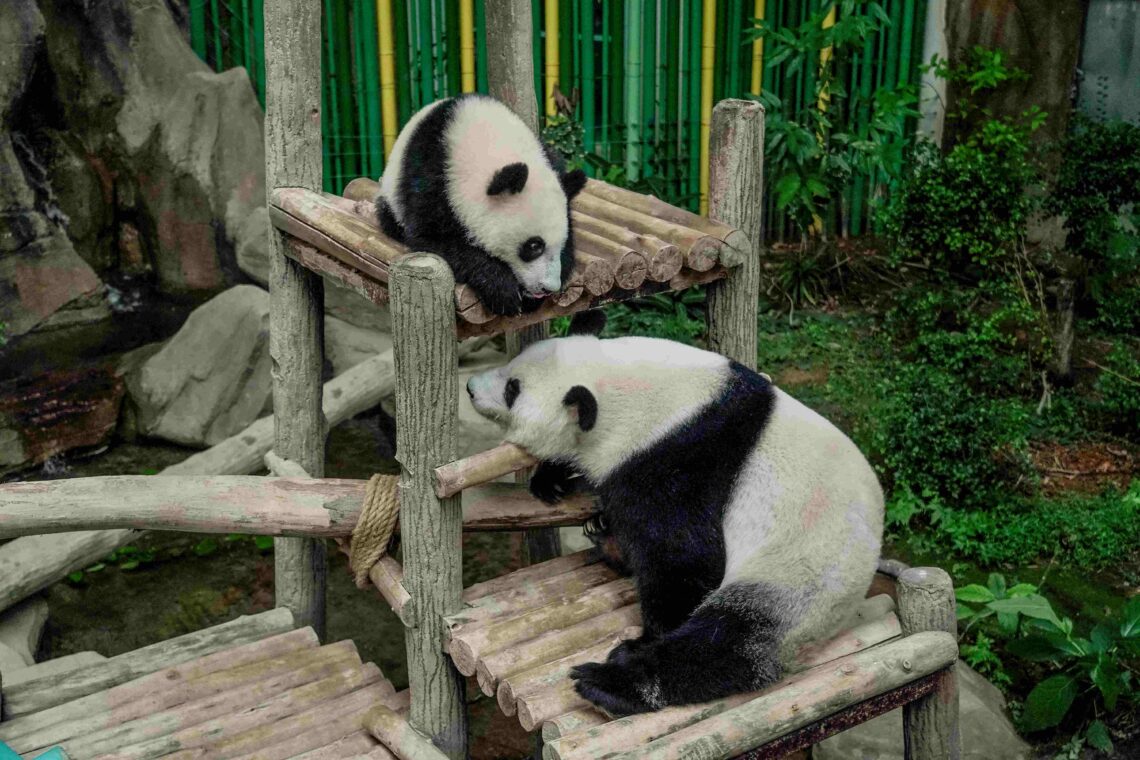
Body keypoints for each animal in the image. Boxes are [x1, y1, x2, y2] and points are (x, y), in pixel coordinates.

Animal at [376, 94, 587, 316]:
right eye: (534, 246)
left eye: (562, 241)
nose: (549, 287)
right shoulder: (432, 181)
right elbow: (434, 238)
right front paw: (503, 291)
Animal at [465, 313, 884, 716]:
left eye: (512, 389)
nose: (470, 386)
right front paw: (551, 479)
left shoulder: (681, 460)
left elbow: (684, 558)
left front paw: (647, 637)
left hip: (799, 577)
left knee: (727, 642)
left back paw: (612, 683)